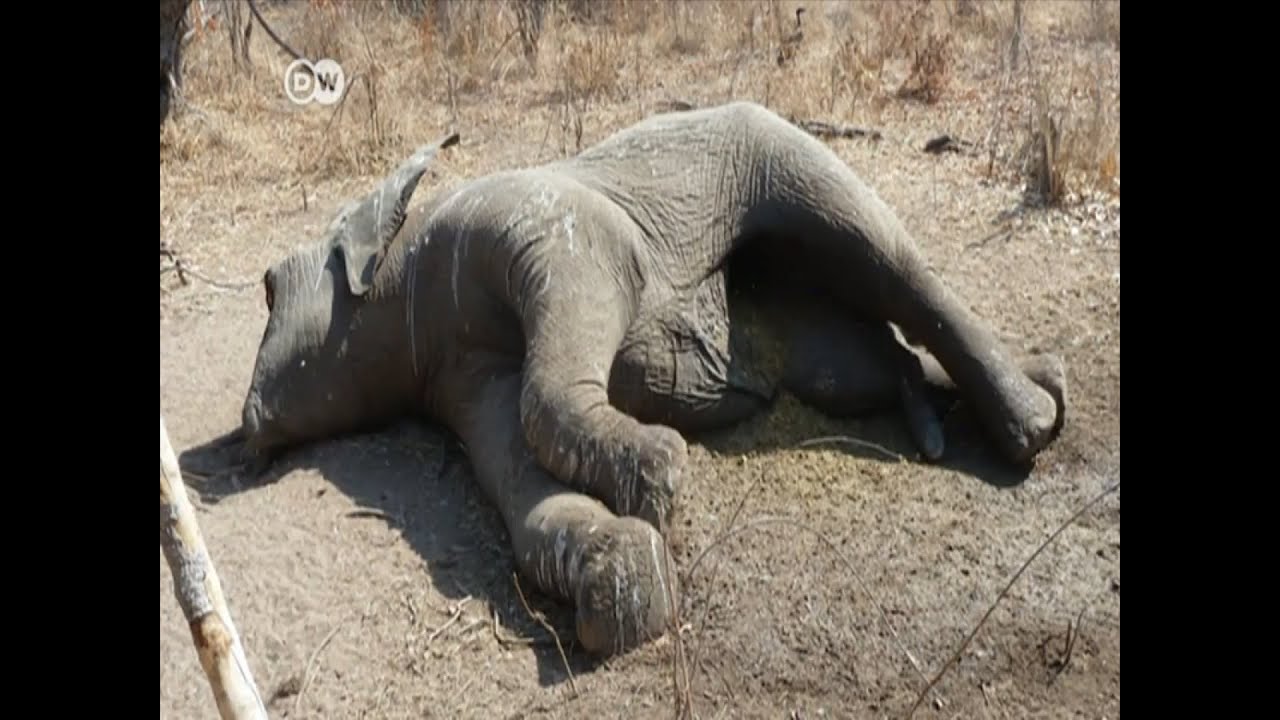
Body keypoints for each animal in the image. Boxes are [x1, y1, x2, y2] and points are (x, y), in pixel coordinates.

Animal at [235, 101, 1066, 657]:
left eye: (270, 287)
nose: (243, 437)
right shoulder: (459, 375)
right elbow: (519, 475)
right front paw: (626, 582)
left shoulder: (543, 226)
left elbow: (549, 391)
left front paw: (659, 474)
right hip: (811, 325)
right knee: (870, 362)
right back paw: (950, 416)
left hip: (783, 156)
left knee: (898, 269)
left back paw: (1032, 417)